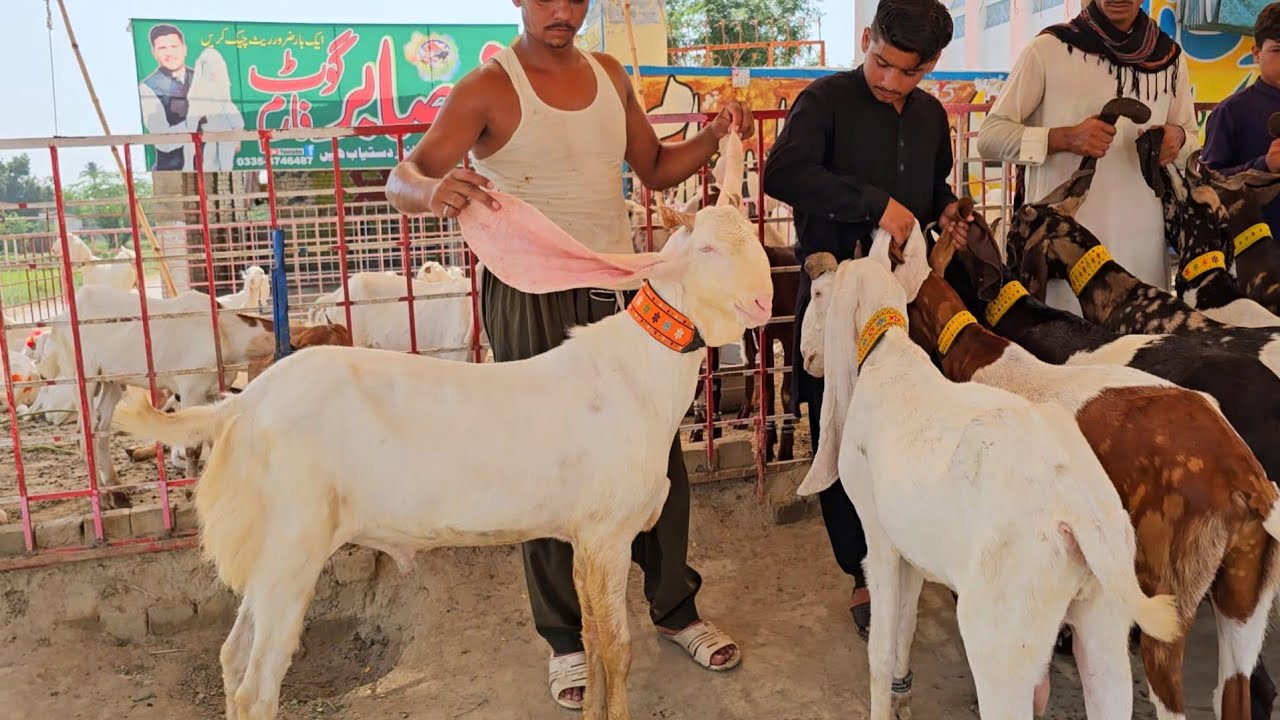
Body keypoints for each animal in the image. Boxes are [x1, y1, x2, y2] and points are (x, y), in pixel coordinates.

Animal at [38, 285, 275, 507]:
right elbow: (194, 447)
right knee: (83, 433)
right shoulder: (191, 389)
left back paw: (118, 492)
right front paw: (190, 491)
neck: (225, 333)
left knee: (101, 428)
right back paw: (103, 499)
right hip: (83, 378)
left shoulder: (211, 392)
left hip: (112, 382)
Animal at [110, 130, 772, 720]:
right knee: (257, 685)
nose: (765, 303)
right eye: (708, 250)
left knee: (232, 656)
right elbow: (616, 649)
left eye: (755, 239)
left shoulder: (583, 536)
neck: (639, 371)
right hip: (291, 542)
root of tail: (243, 404)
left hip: (270, 547)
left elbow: (591, 638)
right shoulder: (606, 530)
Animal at [796, 232, 1178, 720]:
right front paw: (903, 691)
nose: (806, 357)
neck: (888, 353)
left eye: (819, 295)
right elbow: (907, 619)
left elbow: (879, 650)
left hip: (1002, 636)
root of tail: (1077, 512)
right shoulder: (913, 548)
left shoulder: (880, 538)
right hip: (1103, 618)